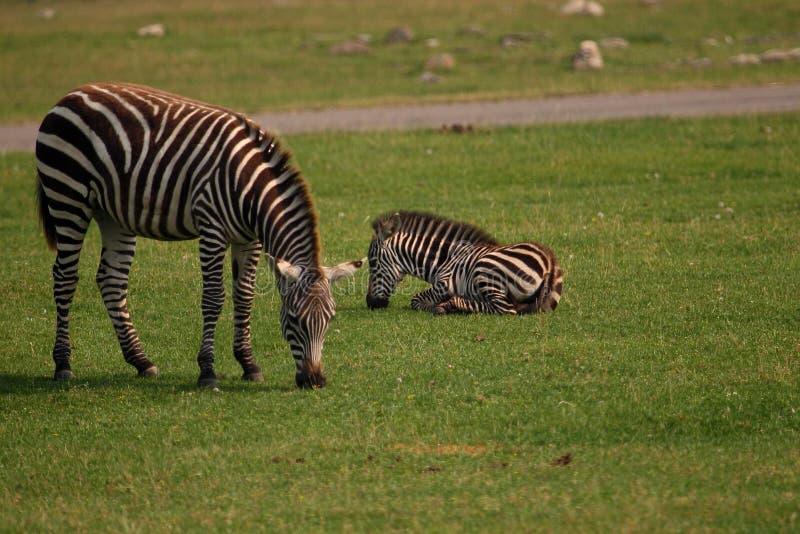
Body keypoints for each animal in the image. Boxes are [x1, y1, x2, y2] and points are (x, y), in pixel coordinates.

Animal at [35, 82, 364, 389]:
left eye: (331, 318)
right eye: (294, 319)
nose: (315, 380)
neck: (250, 188)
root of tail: (73, 93)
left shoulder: (249, 239)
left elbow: (244, 296)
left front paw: (248, 364)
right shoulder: (212, 230)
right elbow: (214, 298)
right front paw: (207, 370)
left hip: (113, 214)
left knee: (112, 281)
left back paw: (141, 361)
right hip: (68, 195)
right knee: (65, 277)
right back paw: (63, 364)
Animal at [366, 211, 563, 315]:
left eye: (373, 263)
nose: (370, 303)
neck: (443, 260)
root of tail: (550, 263)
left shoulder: (444, 284)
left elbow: (415, 300)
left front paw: (438, 307)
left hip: (484, 269)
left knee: (505, 309)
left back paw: (450, 305)